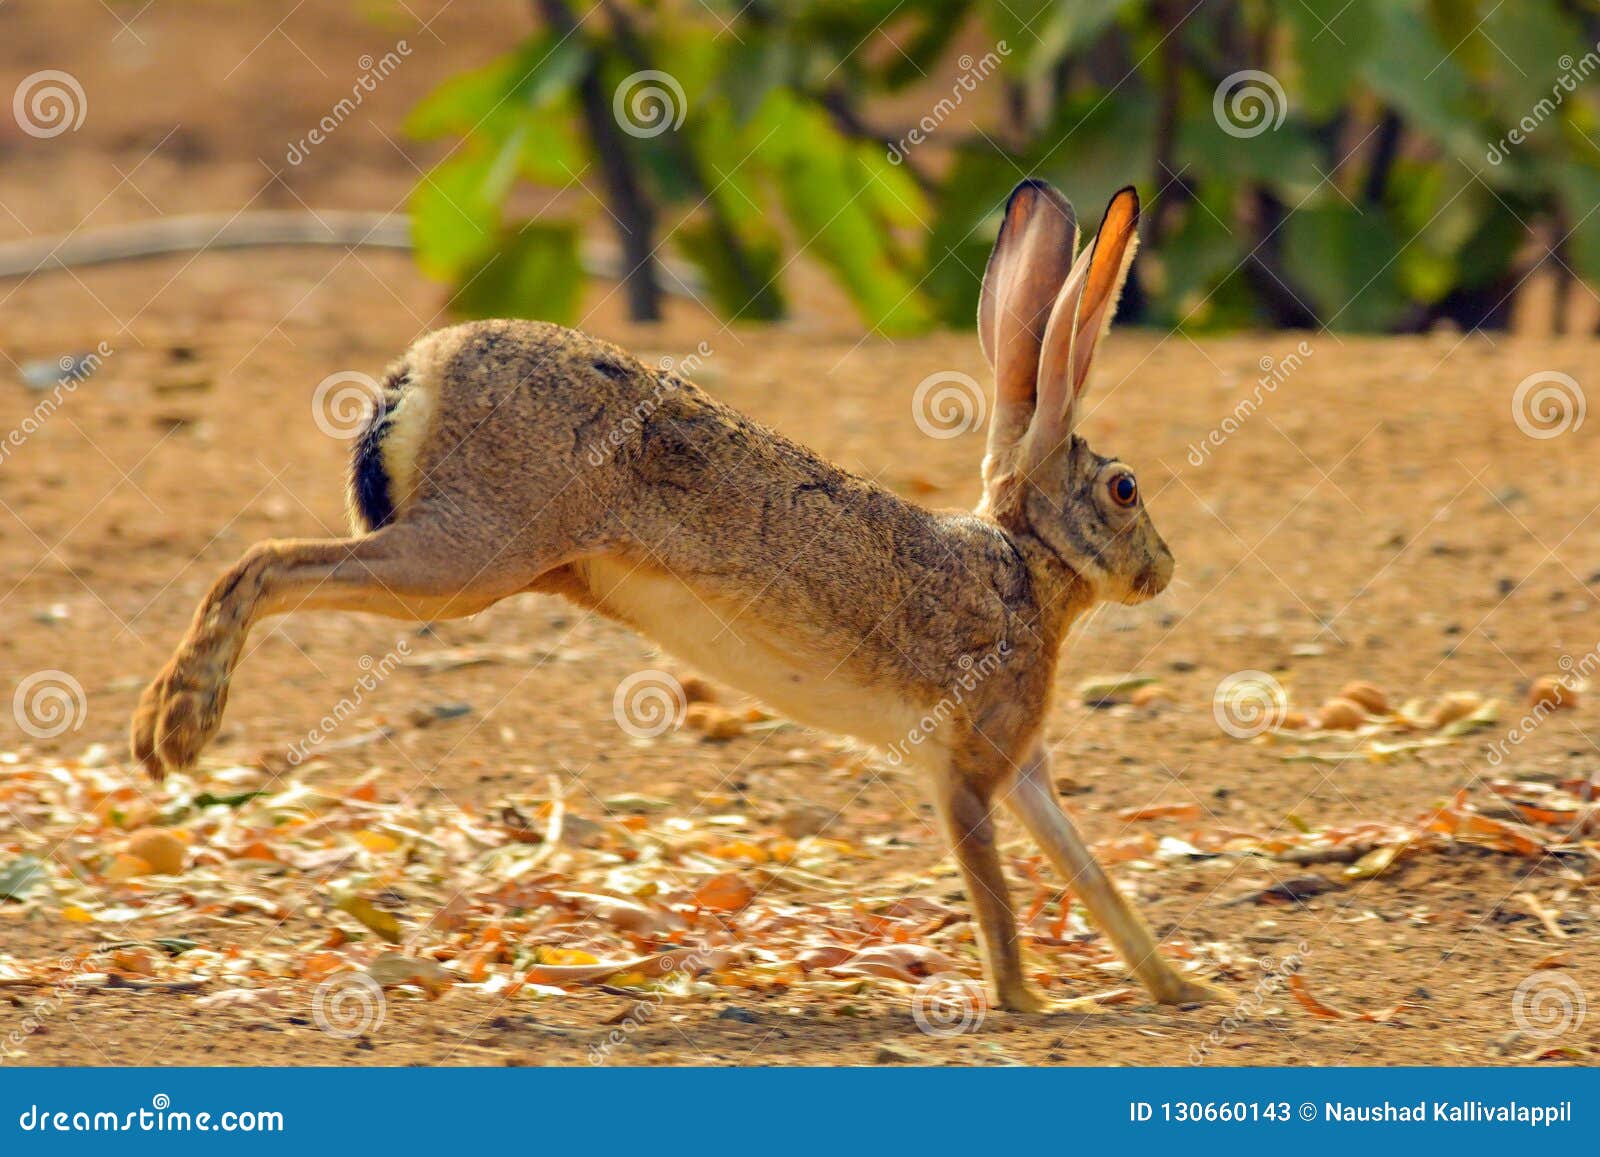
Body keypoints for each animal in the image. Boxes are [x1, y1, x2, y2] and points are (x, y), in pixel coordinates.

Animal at [131, 178, 1222, 1013]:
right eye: (1125, 489)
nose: (1163, 568)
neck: (1021, 561)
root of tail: (417, 373)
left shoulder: (1021, 768)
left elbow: (1089, 871)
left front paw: (1180, 989)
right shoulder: (965, 770)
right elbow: (994, 889)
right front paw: (1027, 1001)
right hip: (463, 557)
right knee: (262, 563)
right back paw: (176, 727)